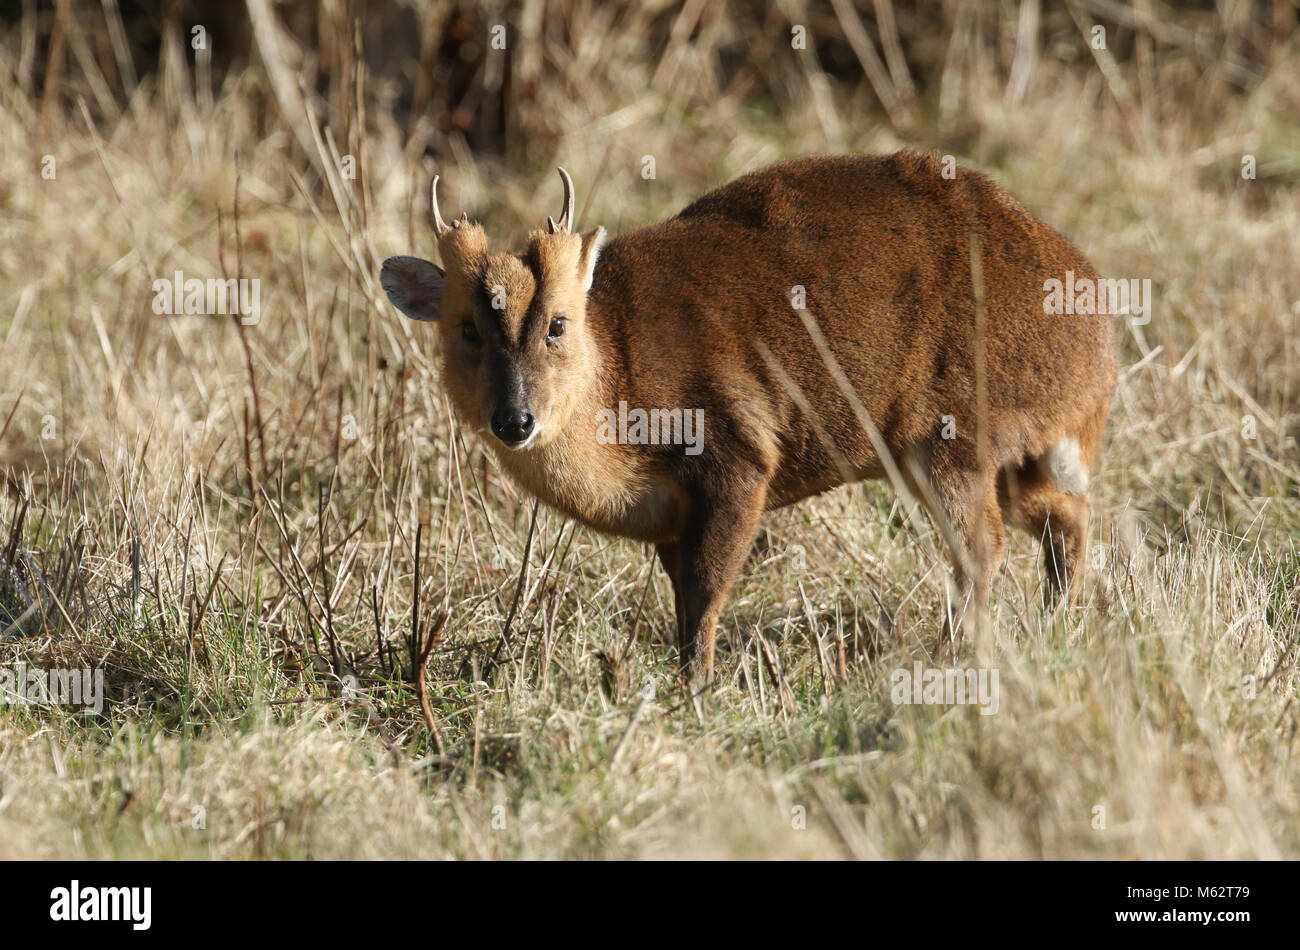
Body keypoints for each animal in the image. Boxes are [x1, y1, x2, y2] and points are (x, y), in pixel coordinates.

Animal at [380, 152, 1117, 686]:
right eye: (466, 328)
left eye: (558, 323)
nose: (515, 419)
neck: (618, 378)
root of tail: (1099, 351)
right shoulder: (671, 517)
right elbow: (682, 601)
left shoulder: (738, 454)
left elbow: (706, 596)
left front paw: (697, 693)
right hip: (999, 454)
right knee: (1066, 521)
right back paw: (1055, 631)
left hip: (955, 436)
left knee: (983, 550)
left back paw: (944, 662)